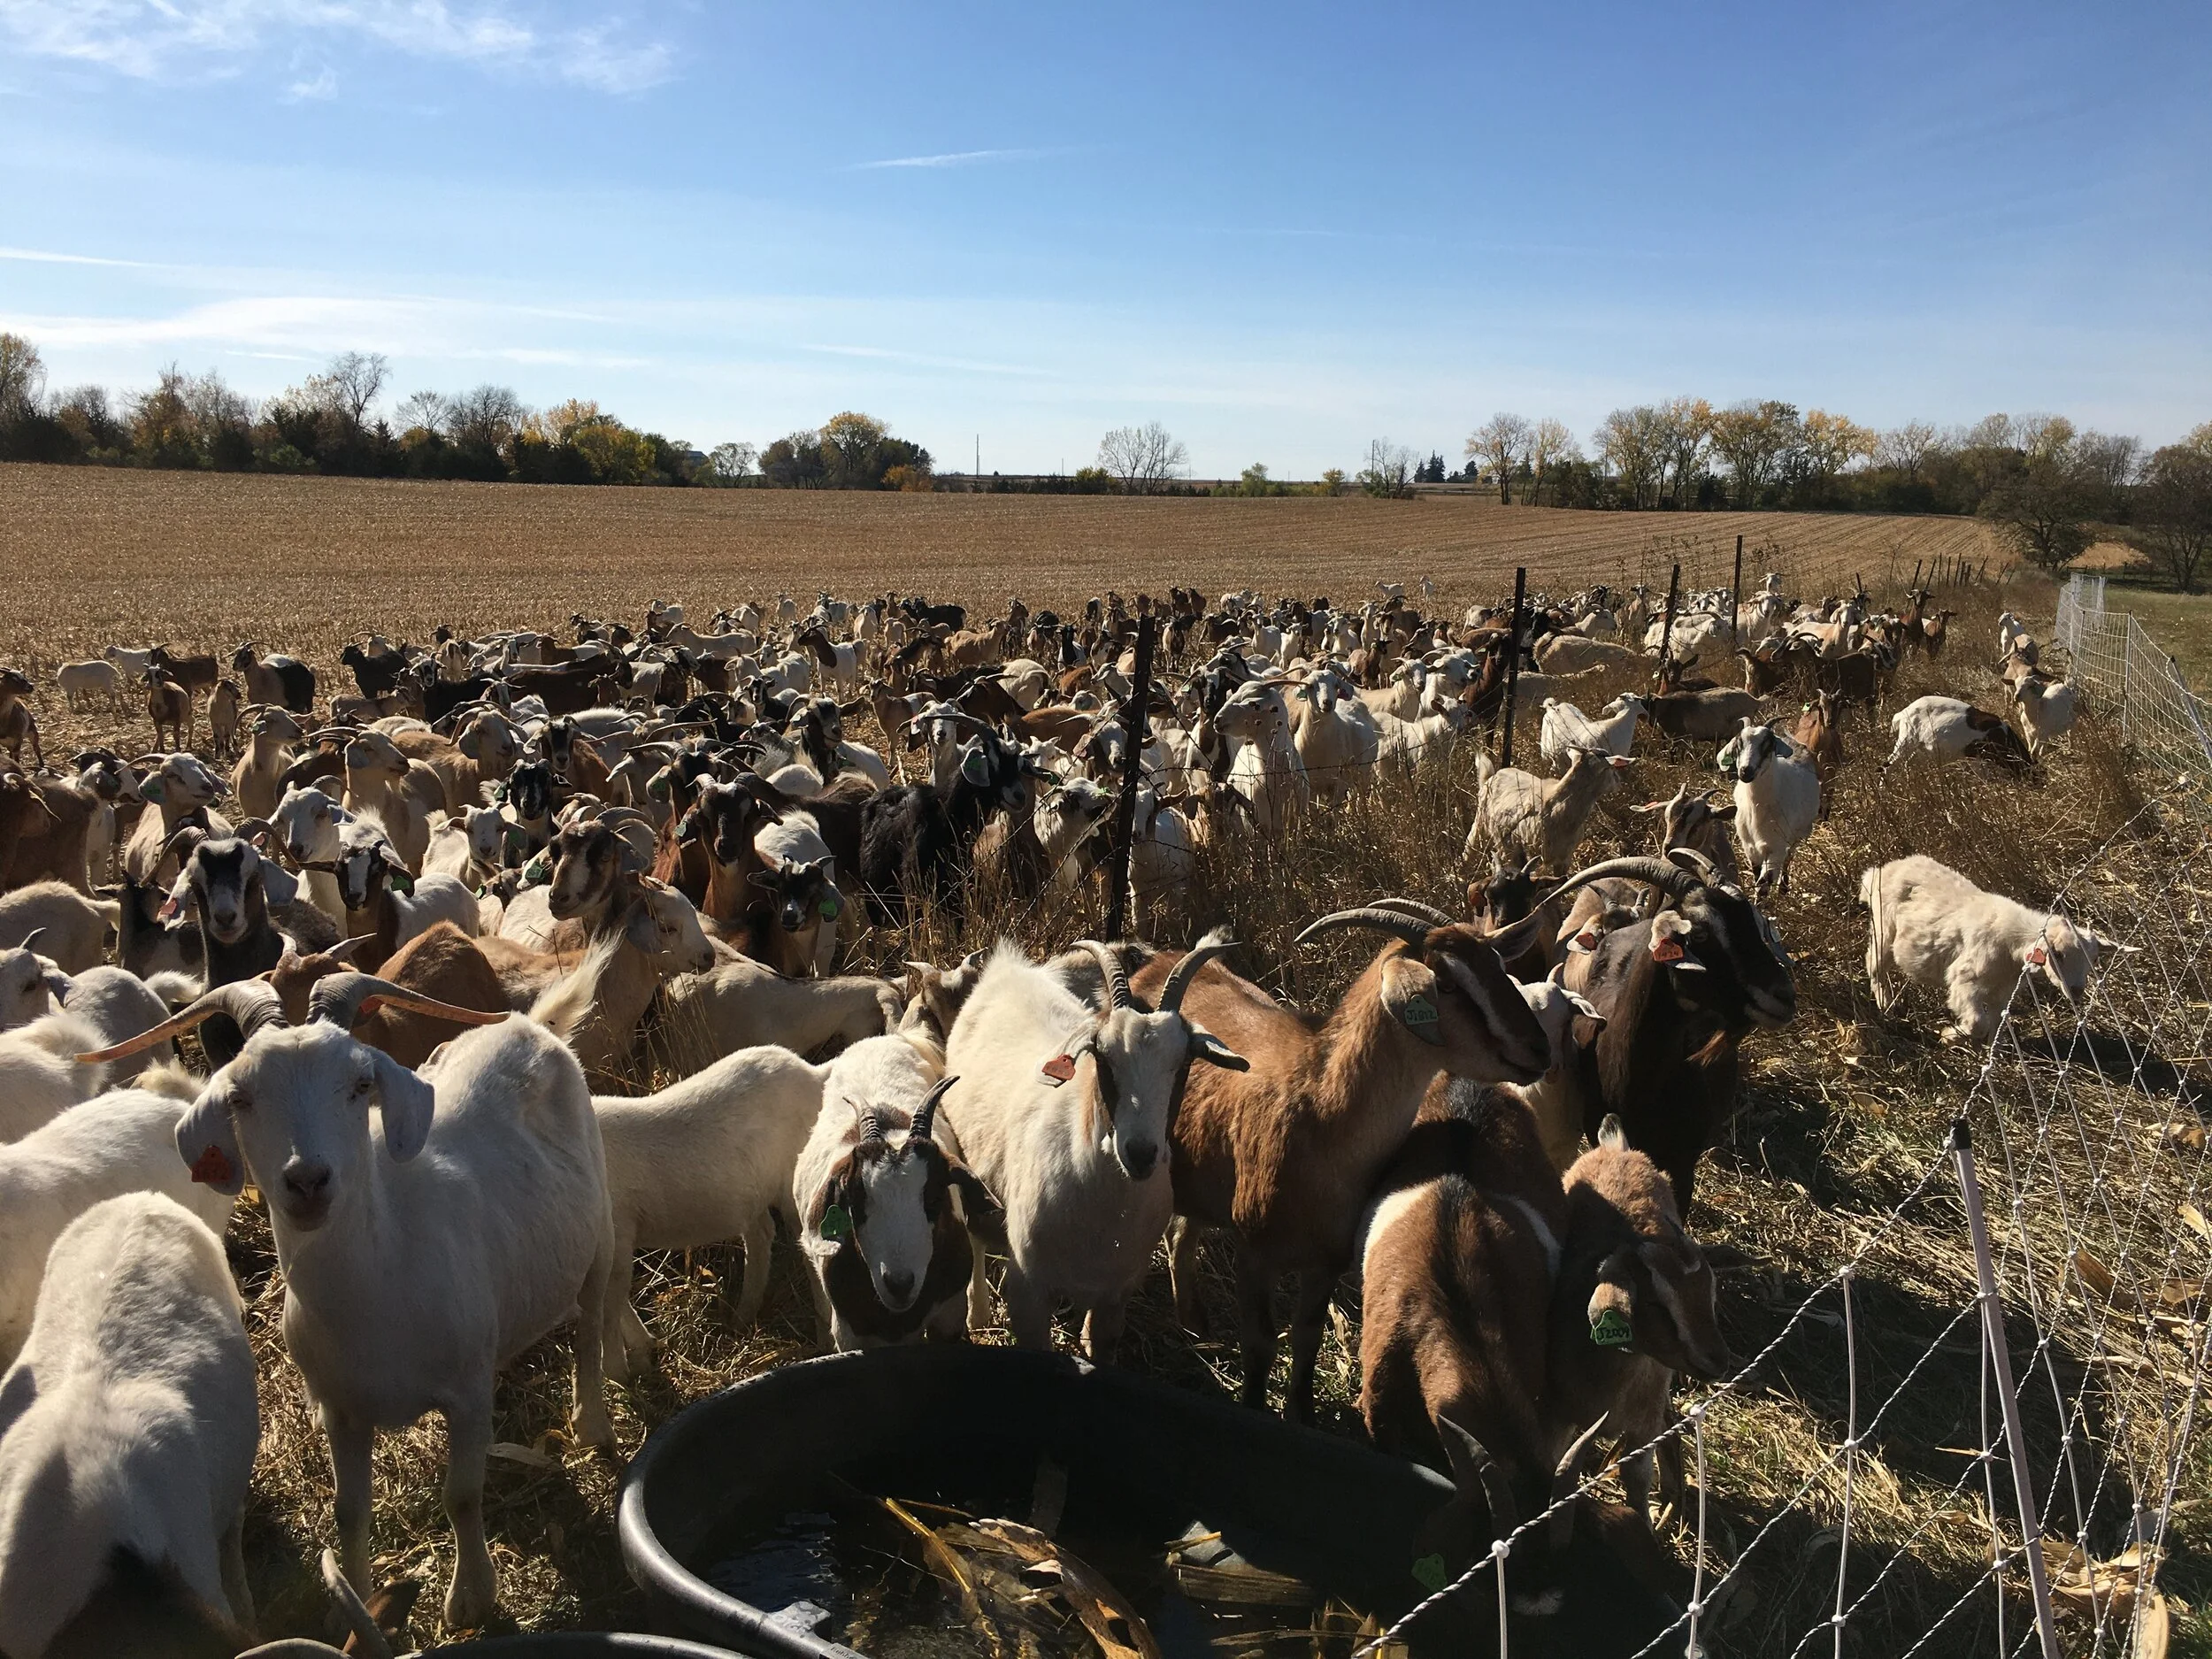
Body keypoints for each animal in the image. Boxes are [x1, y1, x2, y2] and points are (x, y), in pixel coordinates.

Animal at [89, 973, 617, 1629]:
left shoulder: (468, 1393)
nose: (307, 1180)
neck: (378, 1281)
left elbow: (463, 1496)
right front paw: (355, 1610)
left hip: (599, 1226)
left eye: (361, 1084)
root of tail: (528, 1025)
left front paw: (470, 1598)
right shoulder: (344, 1410)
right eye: (239, 1096)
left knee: (592, 1319)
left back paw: (592, 1422)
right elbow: (349, 1510)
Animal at [944, 935, 1247, 1360]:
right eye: (1102, 1056)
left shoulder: (1115, 1296)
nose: (1140, 1153)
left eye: (1185, 1060)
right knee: (973, 1233)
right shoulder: (1028, 1293)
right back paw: (977, 1315)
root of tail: (1008, 967)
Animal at [1861, 855, 2120, 1043]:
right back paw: (1885, 1003)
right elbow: (1978, 1023)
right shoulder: (1964, 981)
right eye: (2057, 954)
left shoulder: (2003, 991)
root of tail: (1880, 871)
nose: (2076, 991)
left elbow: (1998, 1023)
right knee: (1874, 966)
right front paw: (1950, 1036)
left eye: (2093, 960)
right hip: (1884, 928)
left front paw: (1991, 1050)